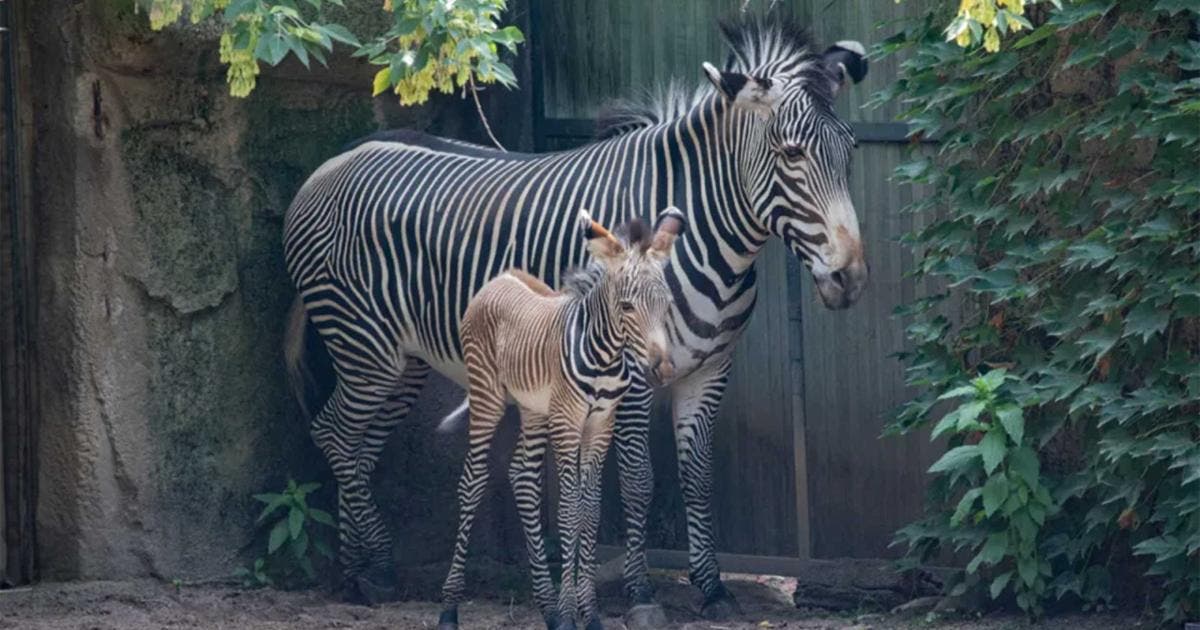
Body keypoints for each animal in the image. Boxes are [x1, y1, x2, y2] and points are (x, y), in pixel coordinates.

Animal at [438, 211, 684, 630]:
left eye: (666, 304)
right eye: (627, 306)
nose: (663, 371)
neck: (605, 358)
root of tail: (502, 276)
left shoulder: (600, 425)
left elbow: (590, 509)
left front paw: (588, 614)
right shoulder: (568, 421)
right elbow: (569, 510)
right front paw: (571, 614)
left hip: (534, 408)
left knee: (522, 475)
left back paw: (548, 607)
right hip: (488, 396)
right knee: (472, 482)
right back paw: (450, 608)